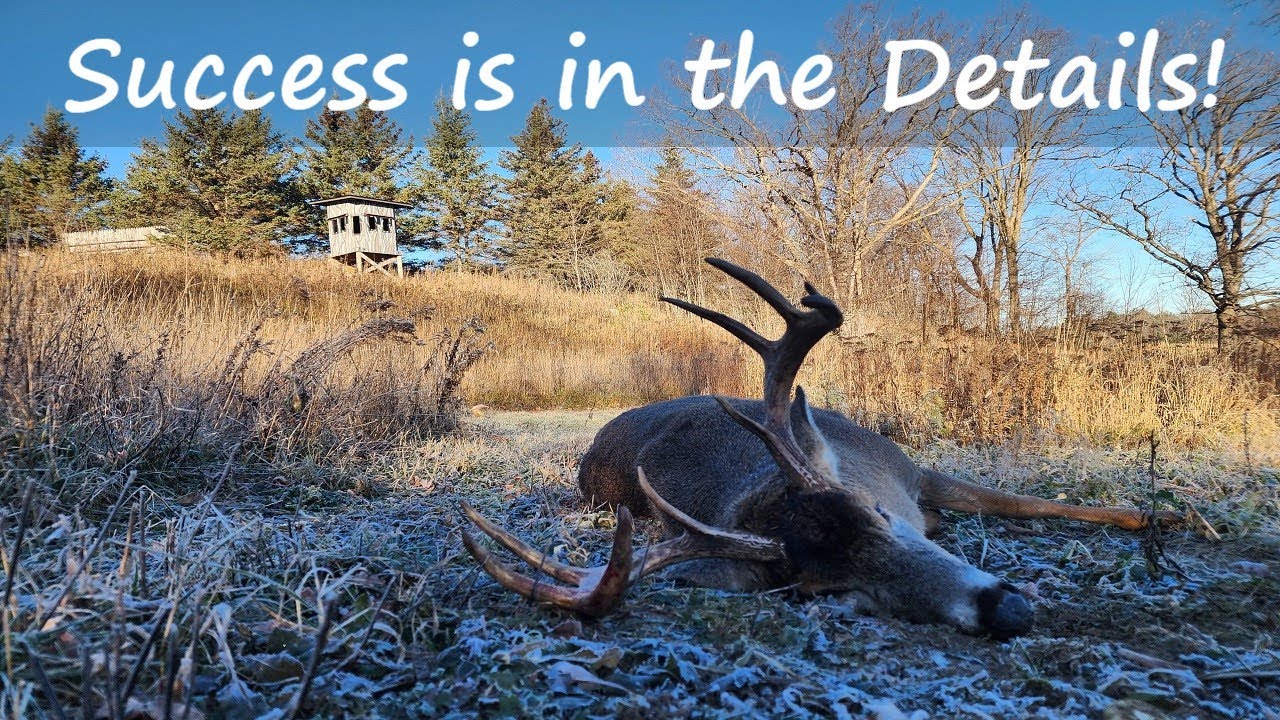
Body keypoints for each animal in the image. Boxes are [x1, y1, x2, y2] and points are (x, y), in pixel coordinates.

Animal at [460, 258, 1179, 639]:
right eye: (829, 590)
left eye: (879, 515)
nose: (1008, 609)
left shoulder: (910, 470)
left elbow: (1030, 501)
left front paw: (1164, 513)